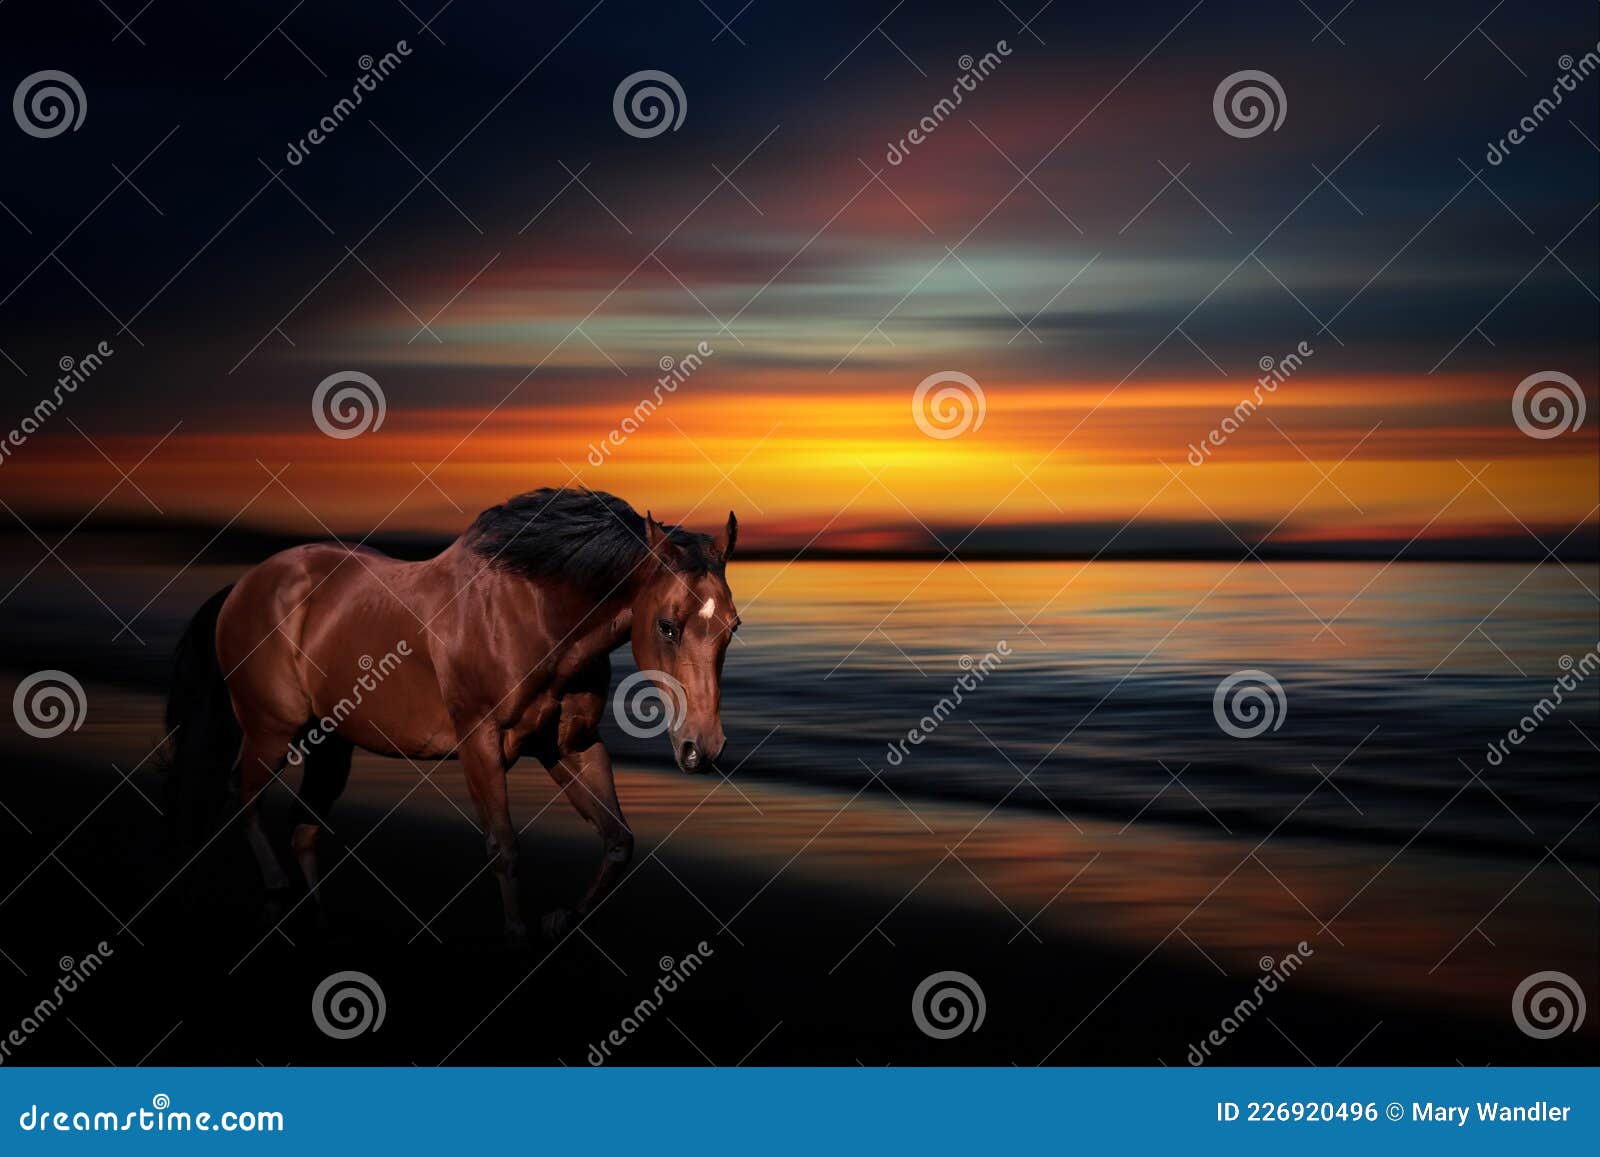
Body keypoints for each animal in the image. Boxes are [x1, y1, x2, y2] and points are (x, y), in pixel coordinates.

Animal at [164, 487, 740, 946]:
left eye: (732, 627)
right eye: (666, 626)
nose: (702, 747)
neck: (532, 613)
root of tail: (244, 587)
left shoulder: (571, 746)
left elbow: (618, 840)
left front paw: (561, 919)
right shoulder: (480, 742)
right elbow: (503, 846)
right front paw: (518, 934)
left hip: (330, 744)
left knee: (302, 828)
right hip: (273, 732)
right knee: (244, 797)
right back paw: (277, 892)